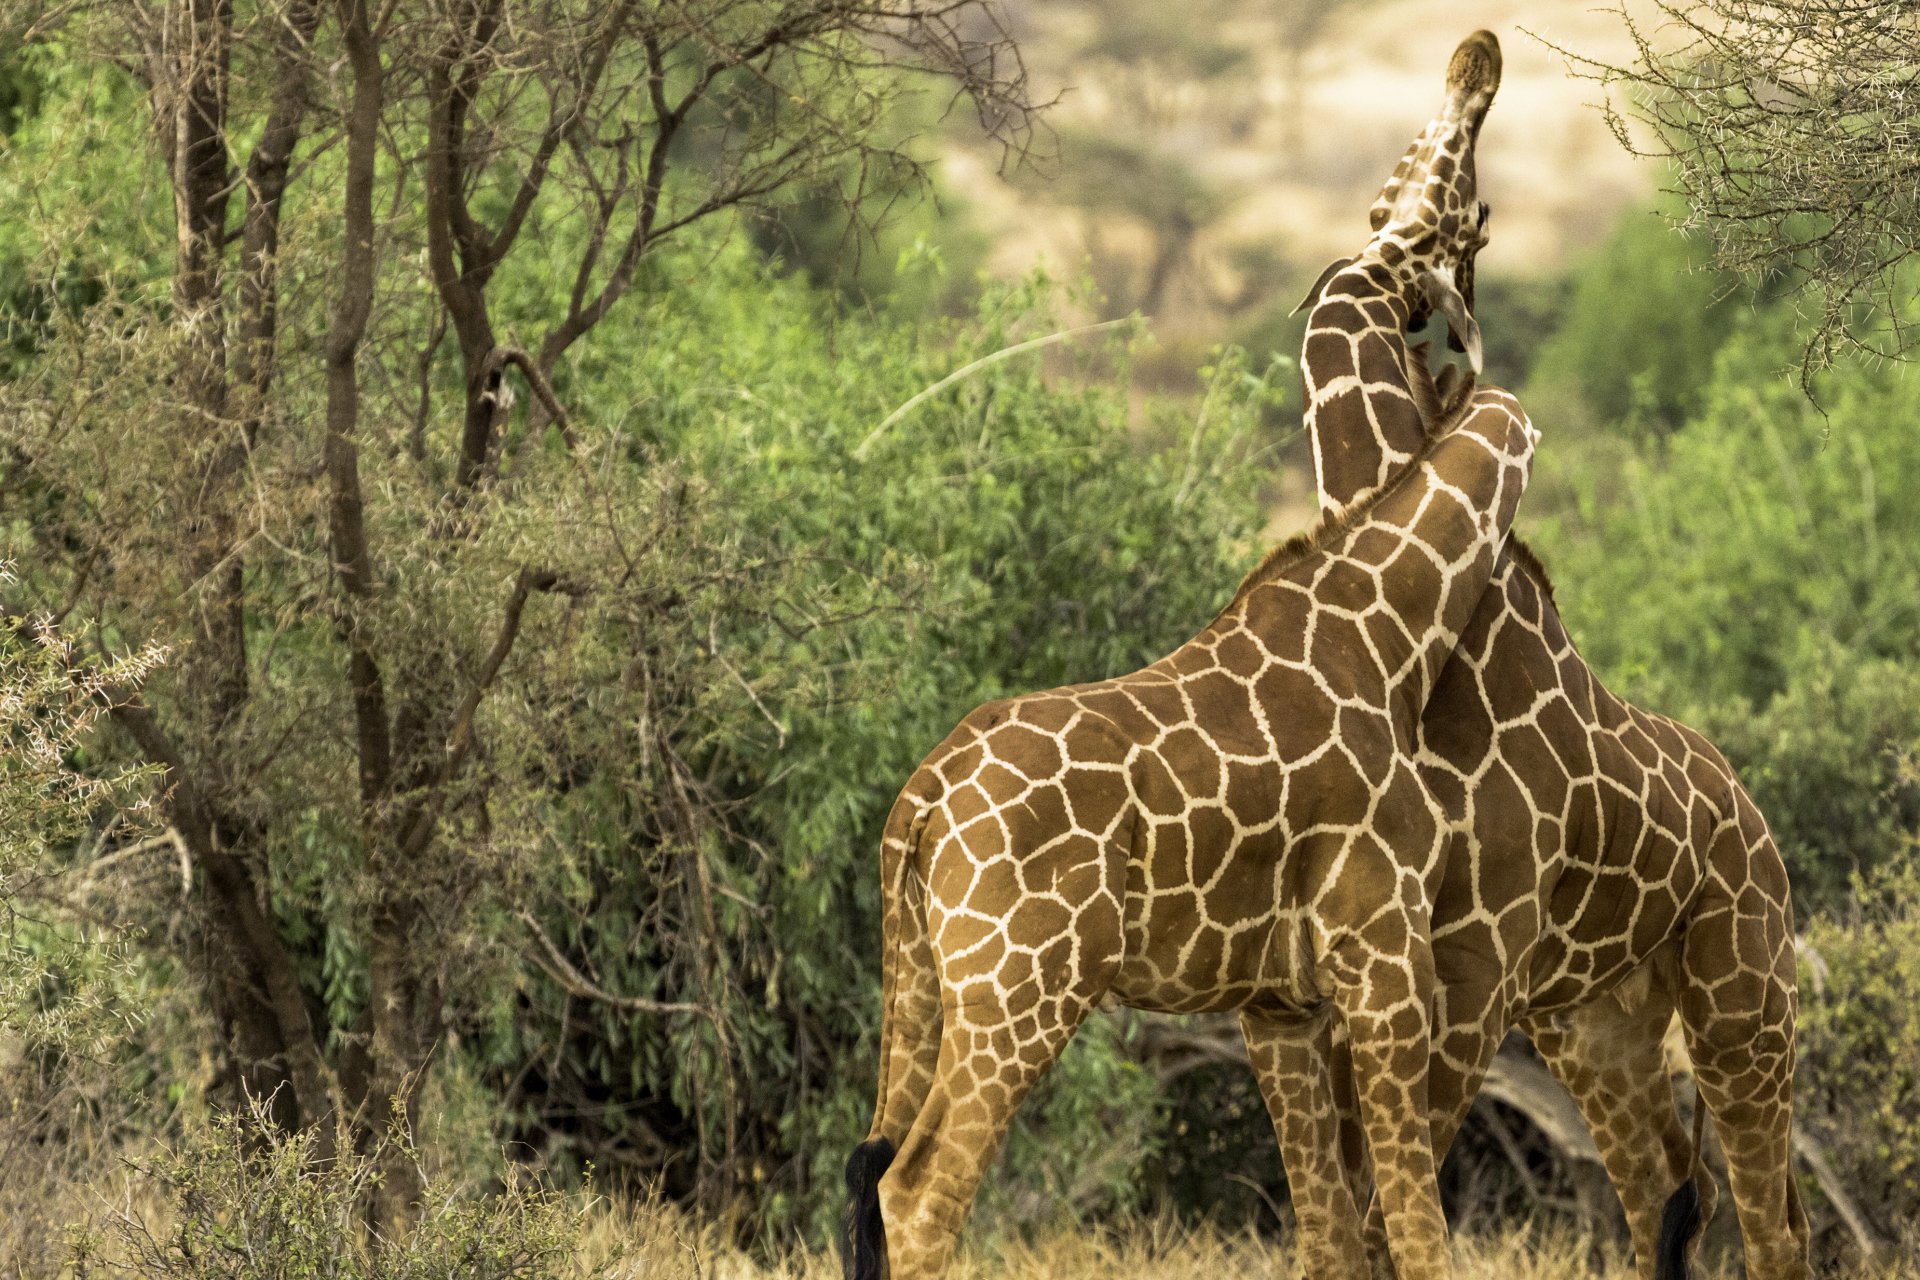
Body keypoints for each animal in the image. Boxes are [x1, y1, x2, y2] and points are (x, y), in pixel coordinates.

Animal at [839, 340, 1539, 1275]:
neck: (1382, 641)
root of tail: (925, 795)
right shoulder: (1384, 951)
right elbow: (1416, 1223)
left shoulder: (1279, 1000)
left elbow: (1332, 1233)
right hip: (1021, 988)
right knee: (916, 1192)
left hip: (924, 975)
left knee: (877, 1169)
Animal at [1294, 31, 1810, 1280]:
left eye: (1466, 207)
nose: (1474, 52)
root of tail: (1757, 819)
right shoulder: (1376, 970)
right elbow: (1342, 1222)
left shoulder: (1471, 970)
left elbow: (1386, 1215)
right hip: (1599, 1023)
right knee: (1667, 1191)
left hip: (1741, 996)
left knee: (1774, 1218)